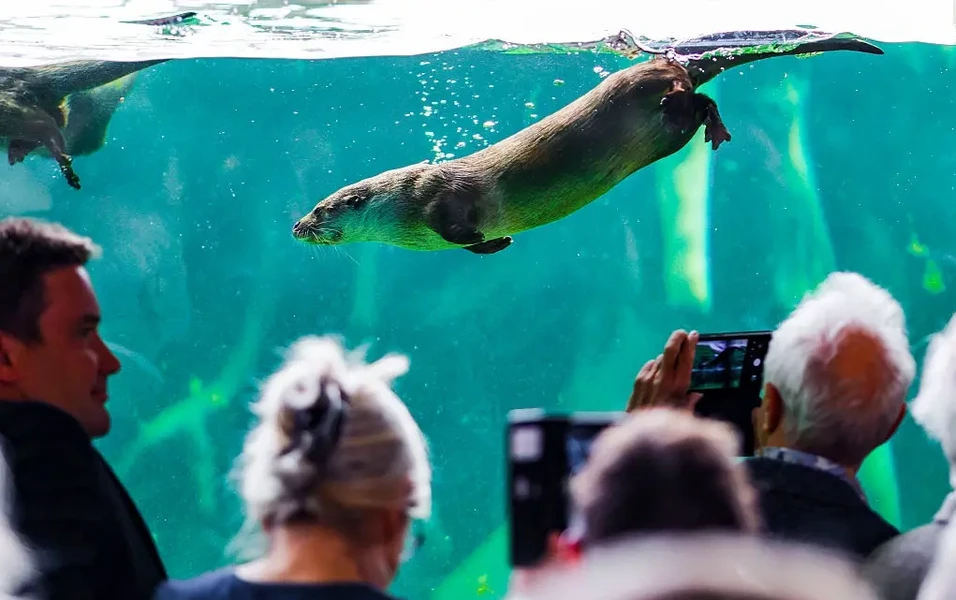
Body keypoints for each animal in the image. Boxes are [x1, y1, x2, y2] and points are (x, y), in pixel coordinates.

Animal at [293, 30, 882, 255]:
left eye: (322, 209)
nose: (297, 226)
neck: (406, 209)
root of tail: (665, 62)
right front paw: (499, 242)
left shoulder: (441, 199)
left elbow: (462, 229)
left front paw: (493, 238)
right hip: (662, 140)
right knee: (692, 104)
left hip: (651, 98)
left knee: (692, 100)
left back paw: (714, 125)